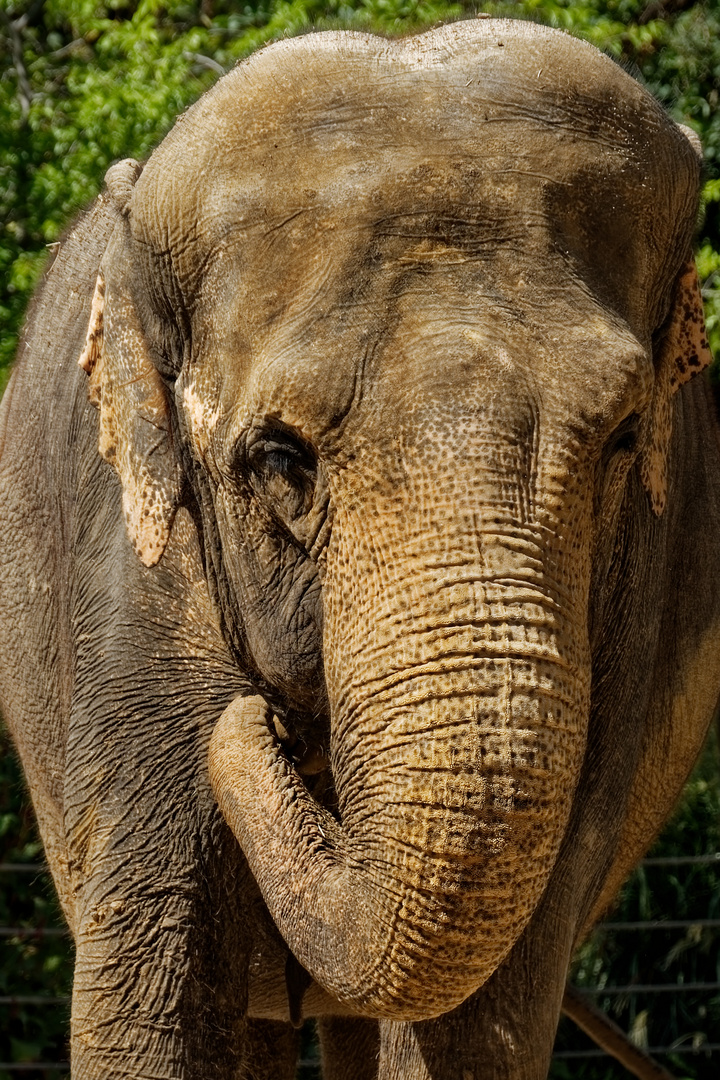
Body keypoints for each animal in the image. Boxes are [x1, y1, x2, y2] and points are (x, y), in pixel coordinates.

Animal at [1, 15, 720, 1080]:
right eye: (279, 459)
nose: (260, 723)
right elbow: (153, 1003)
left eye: (628, 436)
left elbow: (472, 1021)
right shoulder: (131, 577)